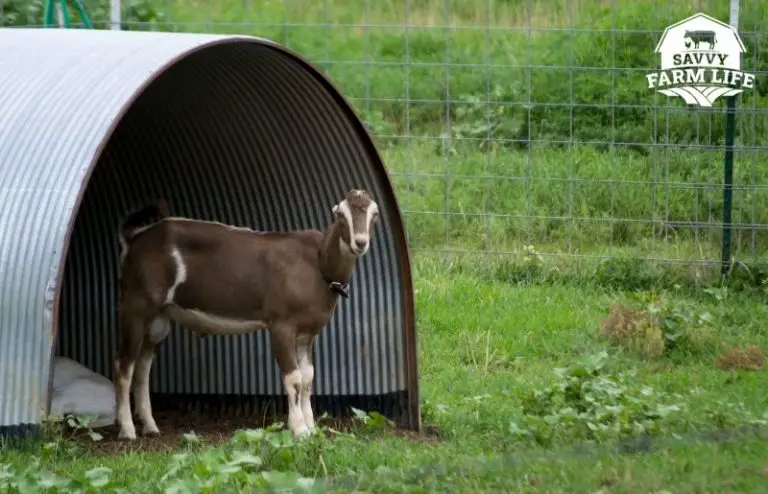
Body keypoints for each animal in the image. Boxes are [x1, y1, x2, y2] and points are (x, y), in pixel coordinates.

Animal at [113, 189, 380, 440]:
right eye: (340, 215)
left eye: (374, 215)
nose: (360, 242)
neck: (318, 262)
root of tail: (135, 238)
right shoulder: (282, 324)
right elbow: (293, 378)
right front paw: (299, 430)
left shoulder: (307, 333)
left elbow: (307, 378)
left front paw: (312, 428)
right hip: (136, 304)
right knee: (123, 365)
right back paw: (127, 430)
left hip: (159, 317)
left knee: (142, 367)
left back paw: (150, 426)